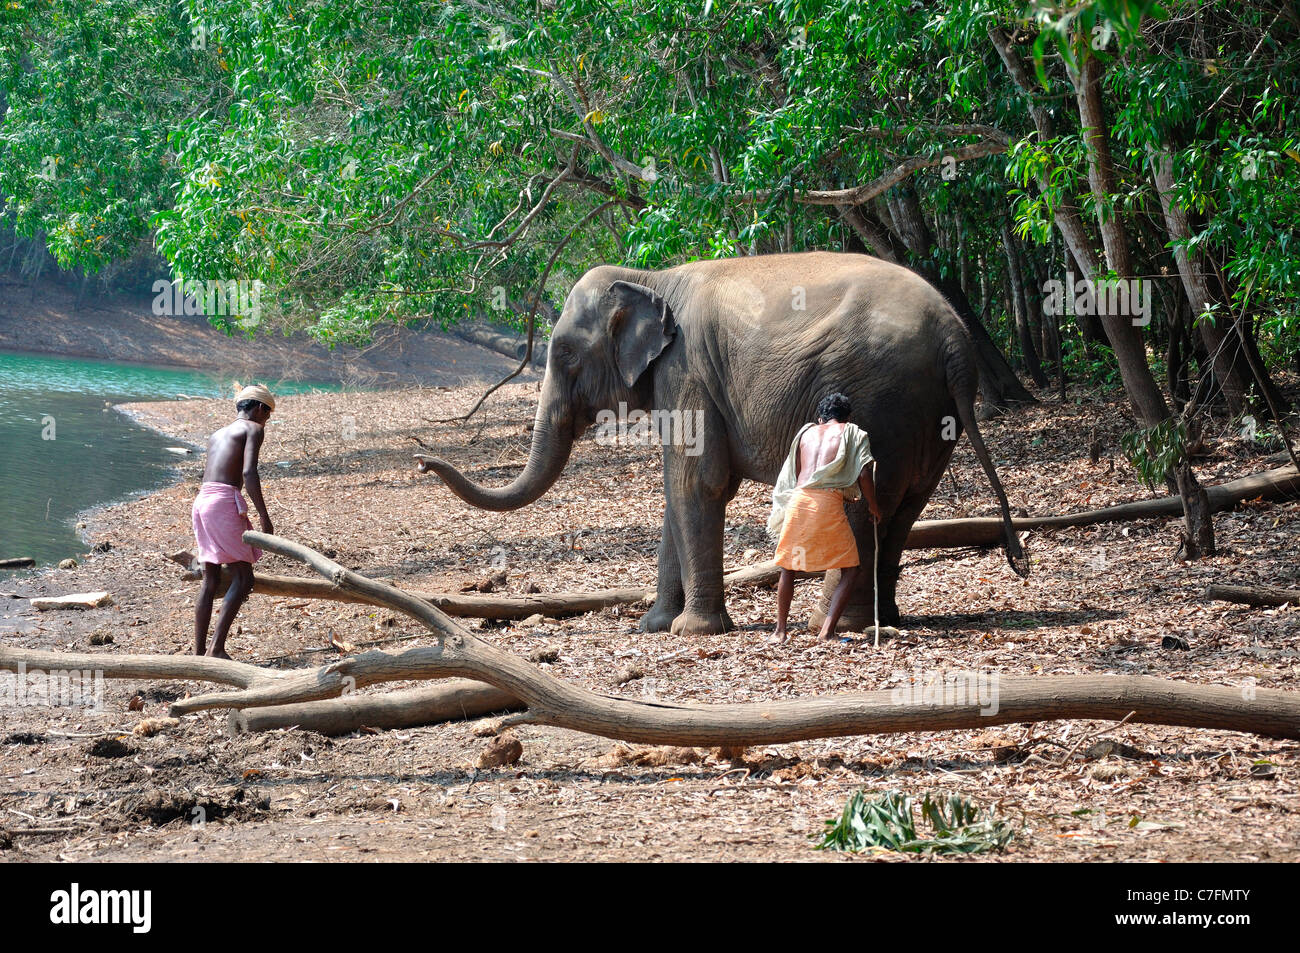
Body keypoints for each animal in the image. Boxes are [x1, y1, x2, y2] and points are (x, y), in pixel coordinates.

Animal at [418, 251, 1027, 636]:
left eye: (565, 354)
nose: (425, 462)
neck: (652, 278)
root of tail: (954, 337)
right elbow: (677, 488)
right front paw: (654, 627)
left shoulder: (686, 371)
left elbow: (698, 482)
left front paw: (693, 632)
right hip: (929, 416)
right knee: (907, 503)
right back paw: (884, 620)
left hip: (882, 396)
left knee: (866, 501)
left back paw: (831, 624)